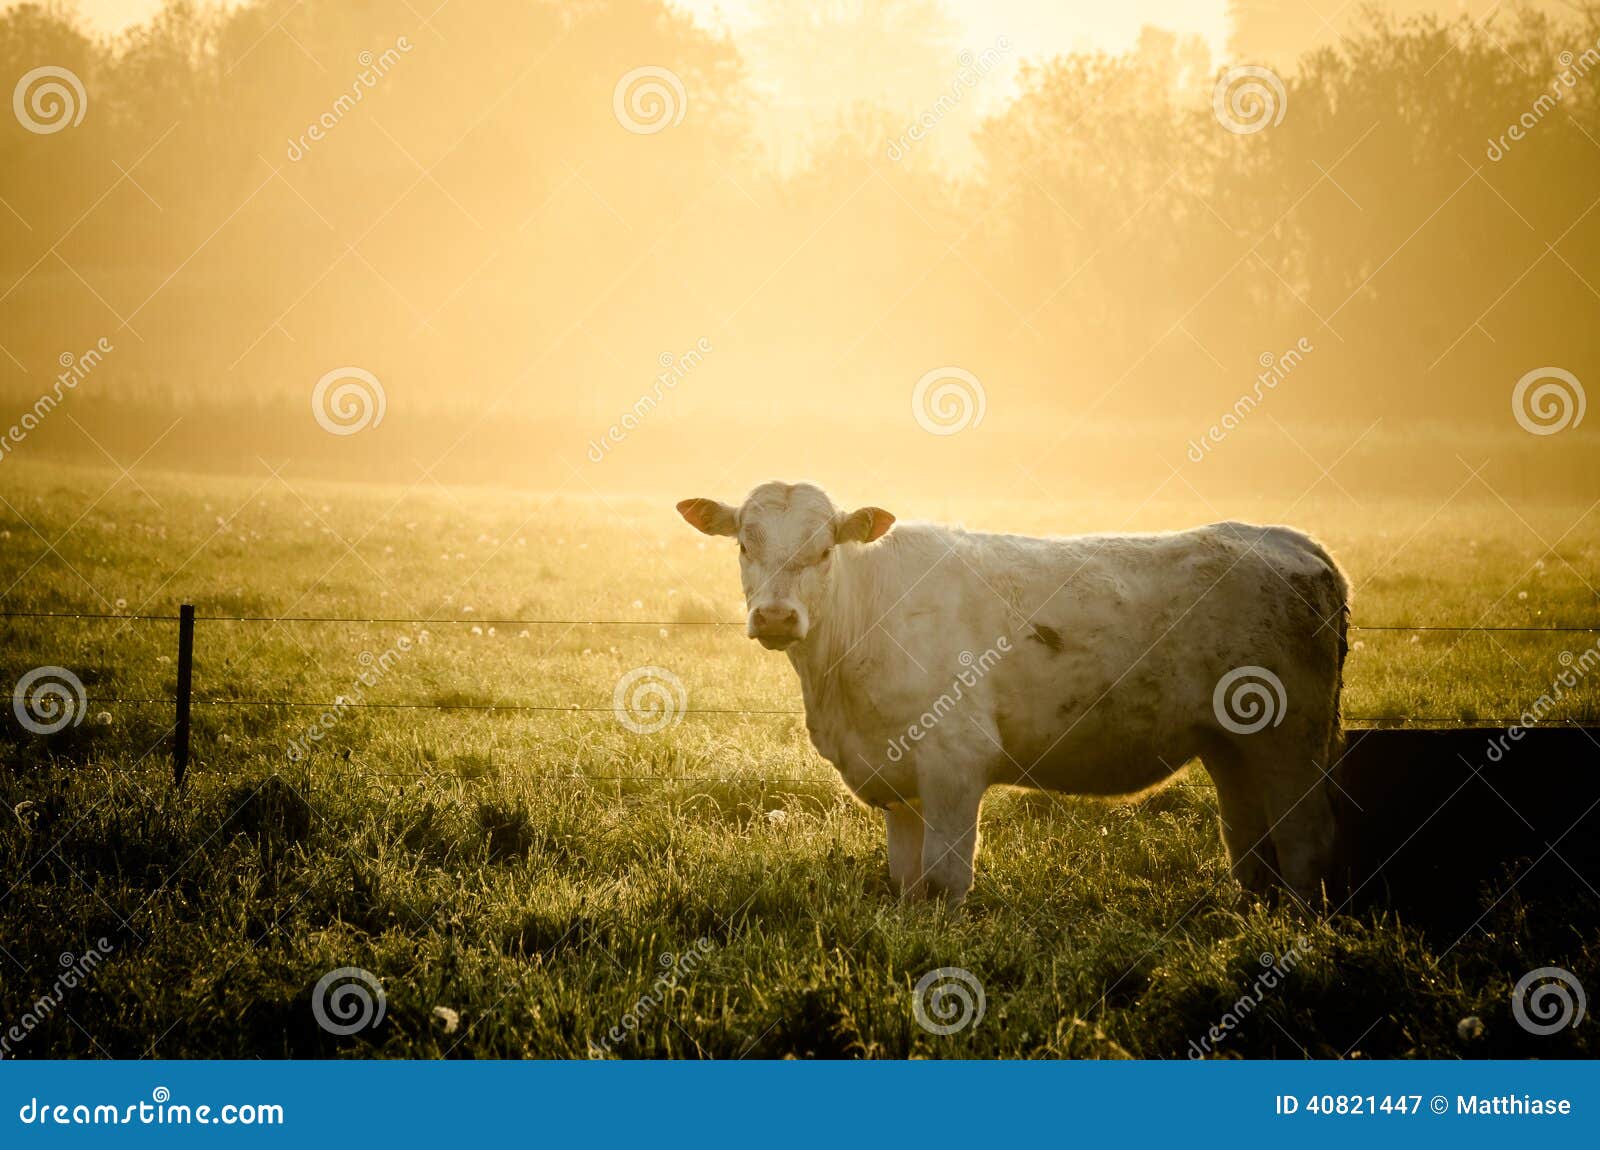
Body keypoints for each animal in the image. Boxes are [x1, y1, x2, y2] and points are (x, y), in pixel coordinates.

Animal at [677, 481, 1350, 908]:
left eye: (822, 551)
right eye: (744, 544)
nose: (775, 617)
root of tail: (1290, 540)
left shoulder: (954, 761)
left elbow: (944, 882)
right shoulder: (900, 775)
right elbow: (906, 884)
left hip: (1292, 740)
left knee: (1307, 846)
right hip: (1231, 747)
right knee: (1252, 851)